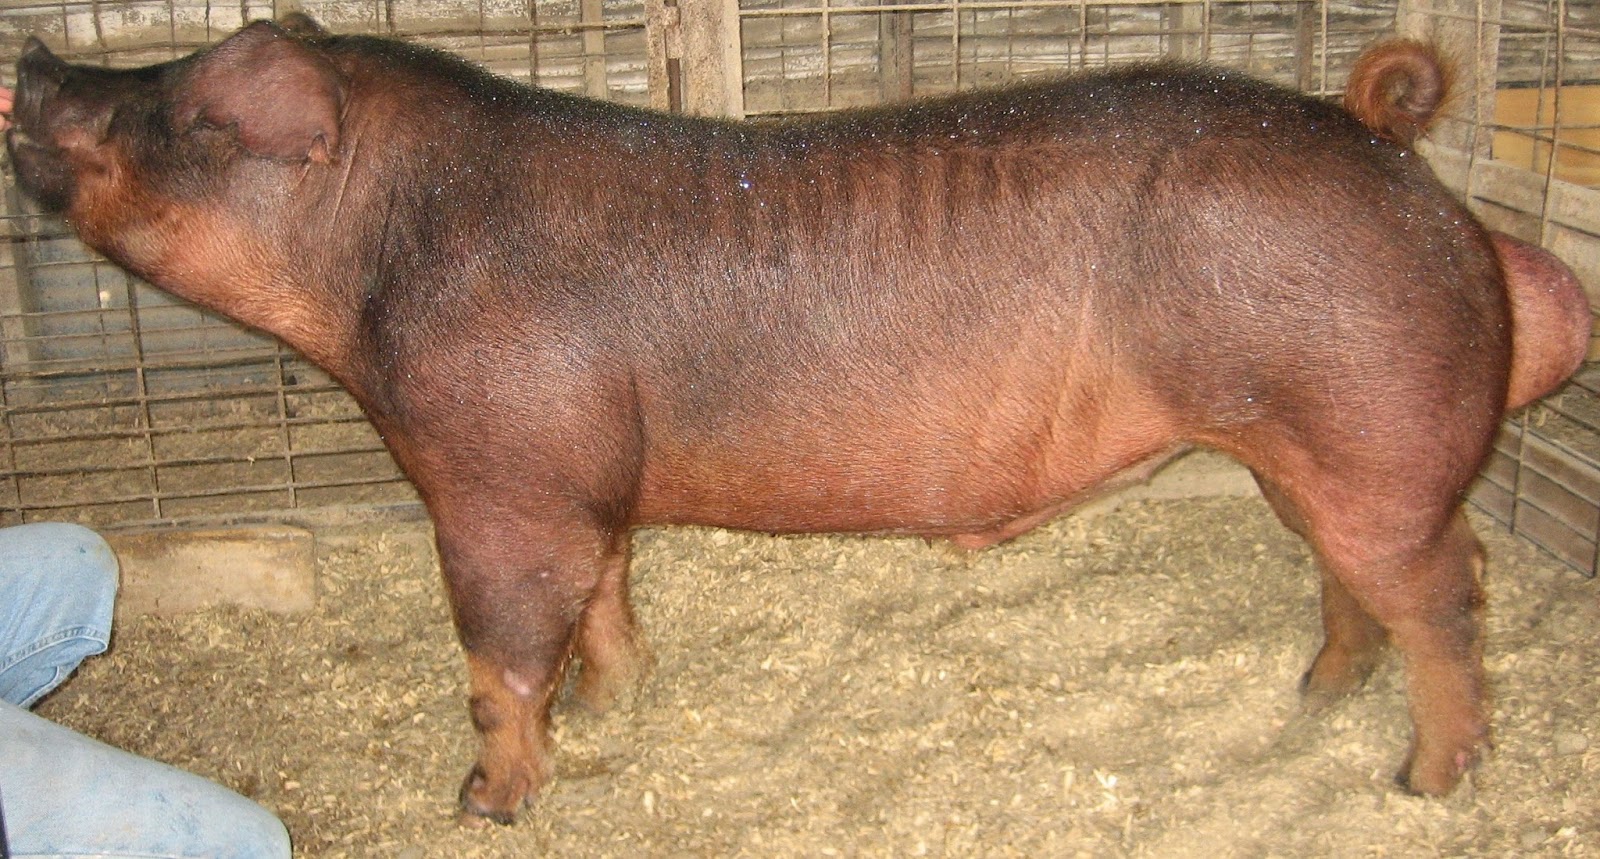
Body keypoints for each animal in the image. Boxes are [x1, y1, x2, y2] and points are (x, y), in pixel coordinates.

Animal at [7, 16, 1590, 825]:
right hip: (1306, 446)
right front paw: (619, 701)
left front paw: (481, 803)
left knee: (1448, 593)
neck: (374, 265)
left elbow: (496, 653)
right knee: (1354, 579)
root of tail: (1391, 144)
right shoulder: (585, 477)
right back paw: (1314, 696)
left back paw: (1423, 781)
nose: (35, 62)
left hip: (1372, 426)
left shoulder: (496, 473)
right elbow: (604, 591)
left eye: (186, 118)